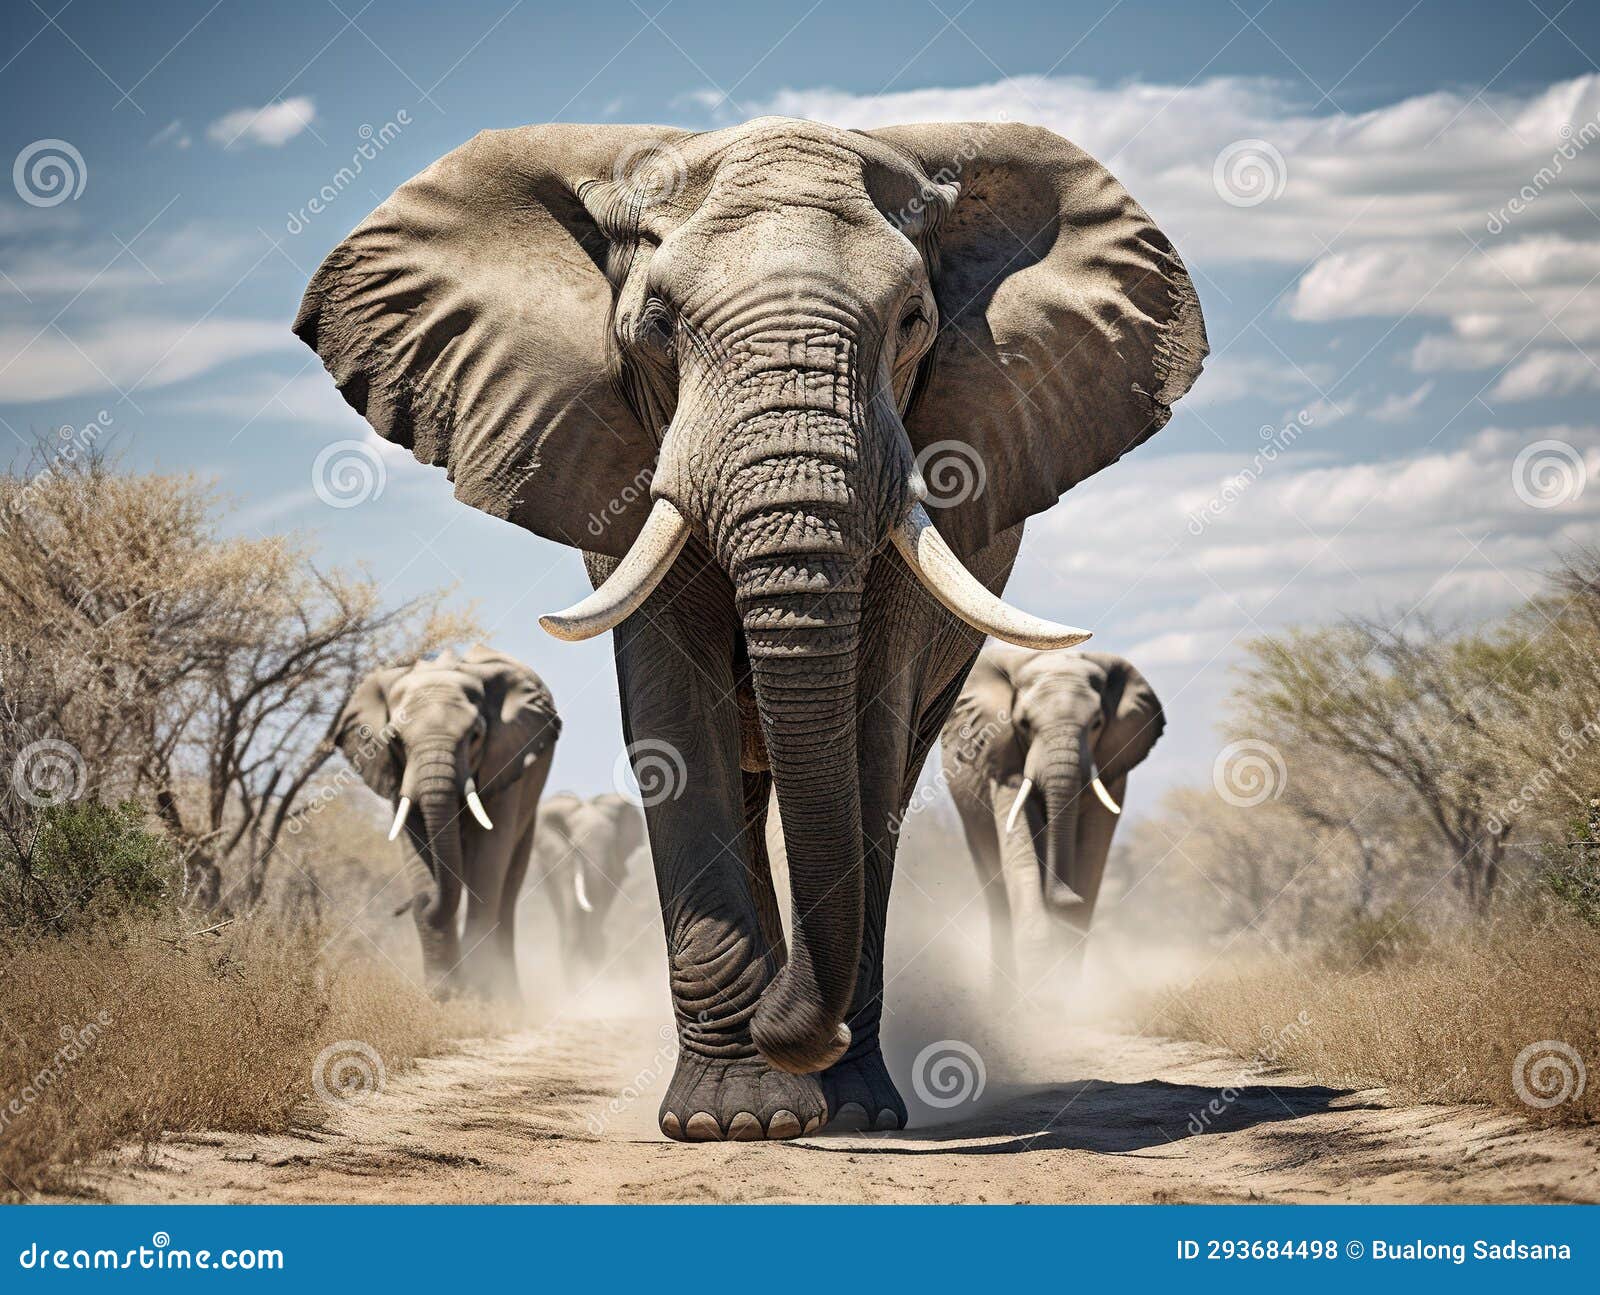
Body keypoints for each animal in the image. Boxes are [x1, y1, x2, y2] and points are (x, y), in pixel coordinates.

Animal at [335, 646, 560, 1000]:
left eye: (475, 736)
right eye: (395, 739)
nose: (417, 901)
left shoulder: (506, 756)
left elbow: (489, 853)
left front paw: (480, 995)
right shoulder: (396, 772)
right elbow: (415, 845)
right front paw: (444, 995)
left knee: (510, 881)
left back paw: (509, 998)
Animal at [940, 648, 1164, 995]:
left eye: (1097, 723)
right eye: (1023, 723)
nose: (1067, 897)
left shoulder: (1112, 771)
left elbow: (1091, 854)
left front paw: (1062, 994)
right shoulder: (1004, 759)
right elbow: (1023, 857)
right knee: (995, 889)